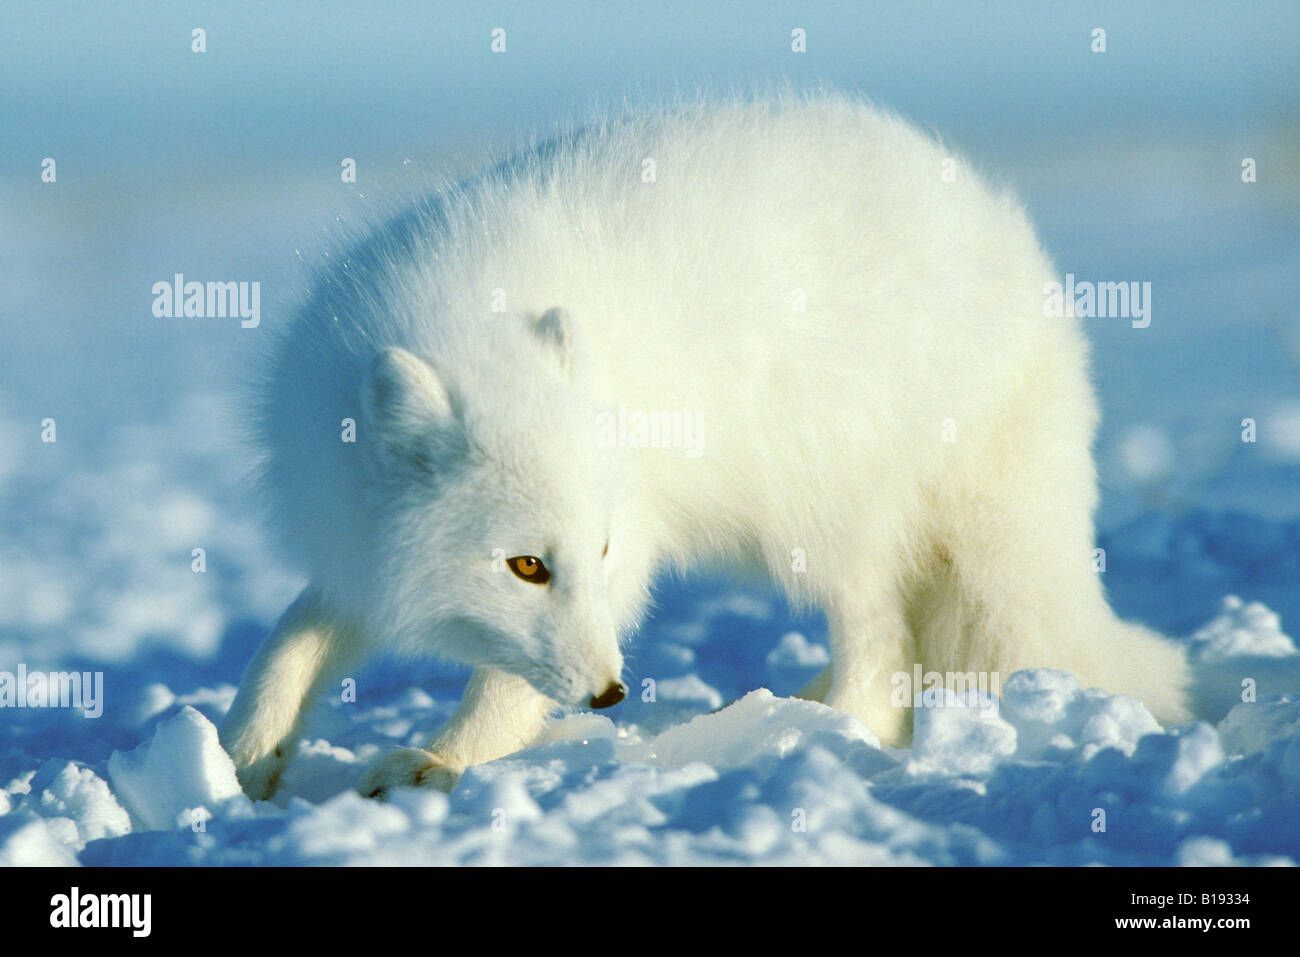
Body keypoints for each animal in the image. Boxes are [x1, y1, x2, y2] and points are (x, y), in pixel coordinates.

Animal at [220, 92, 1200, 801]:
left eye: (598, 550)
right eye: (527, 566)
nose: (612, 695)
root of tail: (1032, 294)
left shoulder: (631, 545)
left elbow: (510, 685)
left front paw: (444, 762)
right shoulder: (353, 540)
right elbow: (292, 638)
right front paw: (242, 752)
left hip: (825, 506)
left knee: (881, 641)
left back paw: (822, 727)